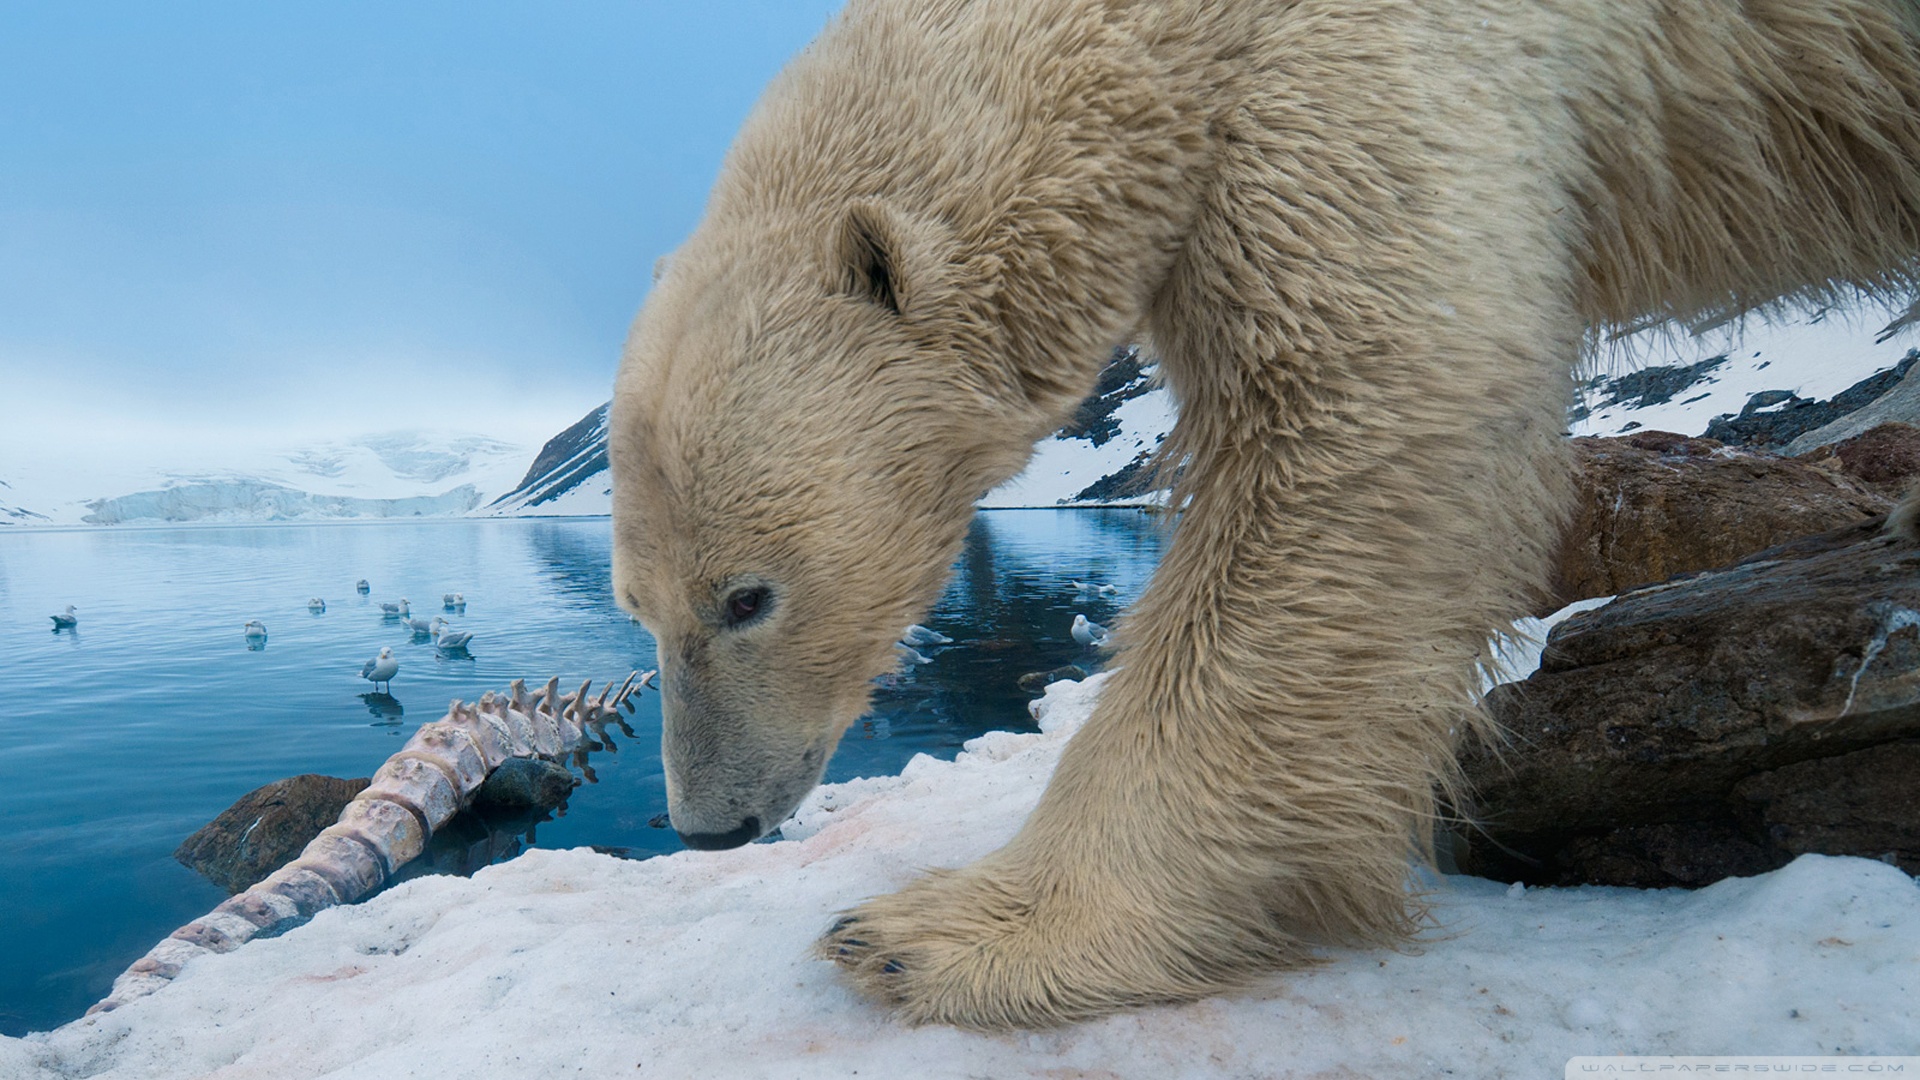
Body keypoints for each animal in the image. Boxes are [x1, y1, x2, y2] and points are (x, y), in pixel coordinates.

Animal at [609, 0, 1920, 1029]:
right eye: (639, 607)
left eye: (747, 597)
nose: (709, 828)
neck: (1162, 28)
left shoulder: (1364, 64)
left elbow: (1362, 419)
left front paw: (943, 934)